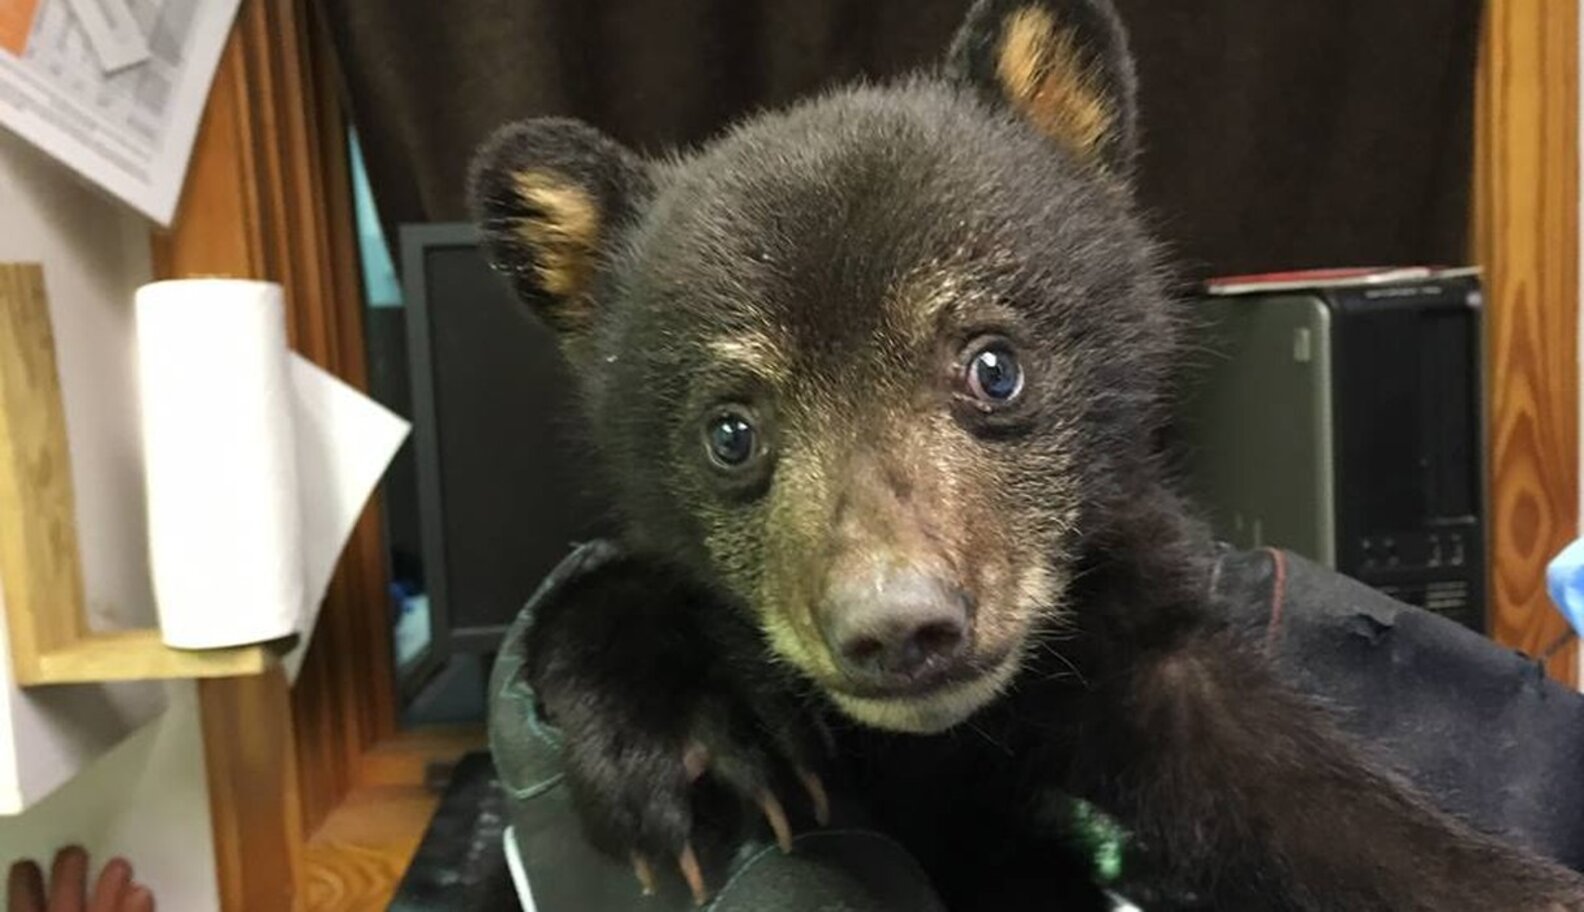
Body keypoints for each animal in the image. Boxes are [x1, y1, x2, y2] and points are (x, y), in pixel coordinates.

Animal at [468, 0, 1584, 908]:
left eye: (994, 366)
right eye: (731, 432)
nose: (899, 626)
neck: (964, 739)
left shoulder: (1135, 631)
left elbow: (1307, 796)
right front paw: (681, 724)